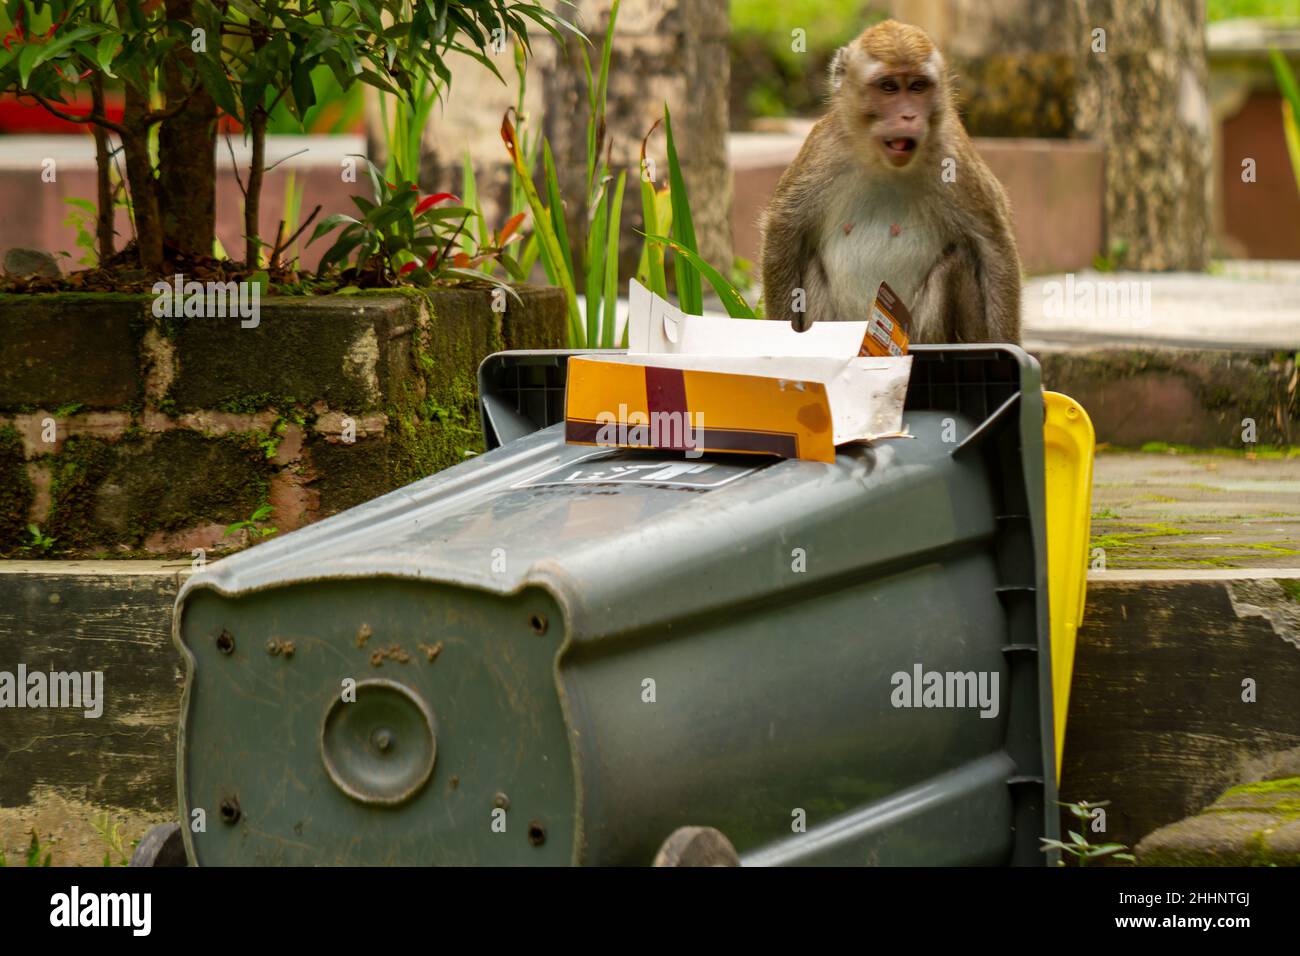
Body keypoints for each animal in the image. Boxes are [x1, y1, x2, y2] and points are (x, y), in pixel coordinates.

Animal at [759, 20, 1021, 344]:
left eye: (918, 86)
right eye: (889, 87)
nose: (908, 115)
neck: (884, 164)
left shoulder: (954, 157)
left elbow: (993, 246)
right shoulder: (823, 150)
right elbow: (784, 231)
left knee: (959, 261)